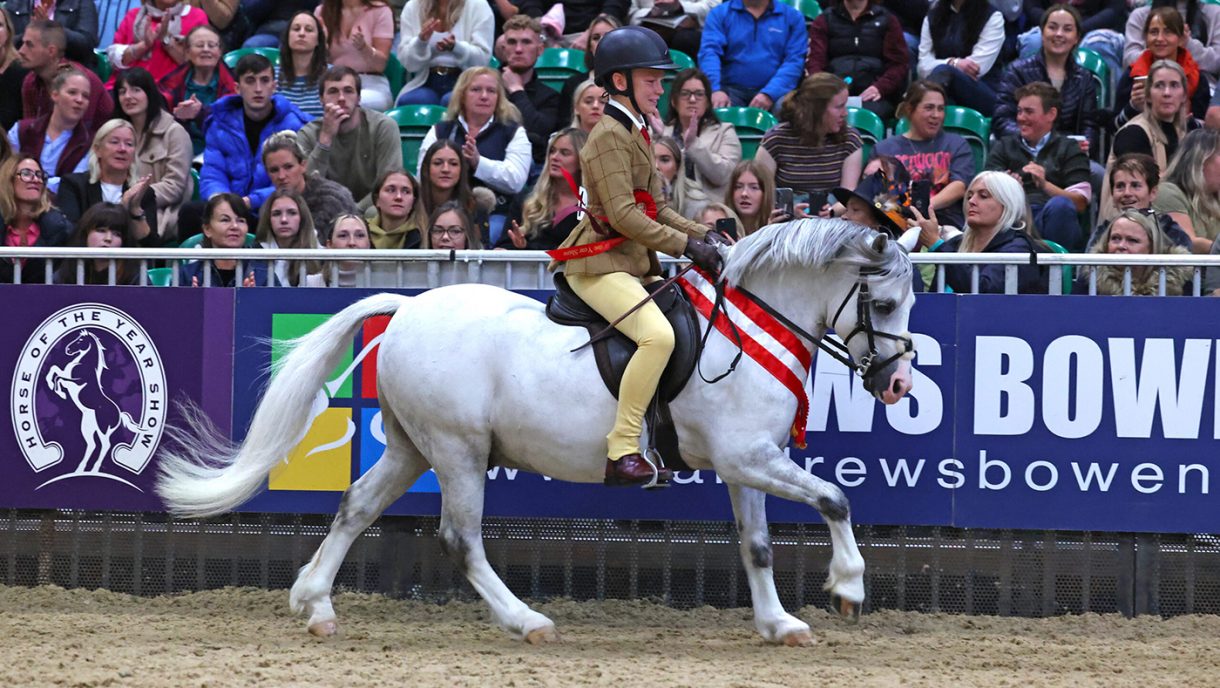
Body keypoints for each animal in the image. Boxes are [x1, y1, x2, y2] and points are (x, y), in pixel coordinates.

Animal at [45, 329, 142, 474]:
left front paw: (60, 393)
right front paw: (52, 385)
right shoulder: (65, 374)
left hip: (103, 429)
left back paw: (94, 468)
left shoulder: (76, 382)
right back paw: (81, 469)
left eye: (80, 340)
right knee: (92, 445)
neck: (84, 364)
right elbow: (54, 369)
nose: (68, 349)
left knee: (105, 445)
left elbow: (59, 378)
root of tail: (119, 414)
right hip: (88, 426)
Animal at [156, 219, 917, 647]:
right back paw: (527, 621)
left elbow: (757, 545)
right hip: (458, 450)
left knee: (355, 507)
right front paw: (849, 589)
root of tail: (406, 309)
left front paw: (779, 625)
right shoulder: (749, 456)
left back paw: (314, 605)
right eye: (883, 304)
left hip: (411, 447)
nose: (899, 387)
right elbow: (835, 499)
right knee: (460, 539)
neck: (751, 324)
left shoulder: (745, 462)